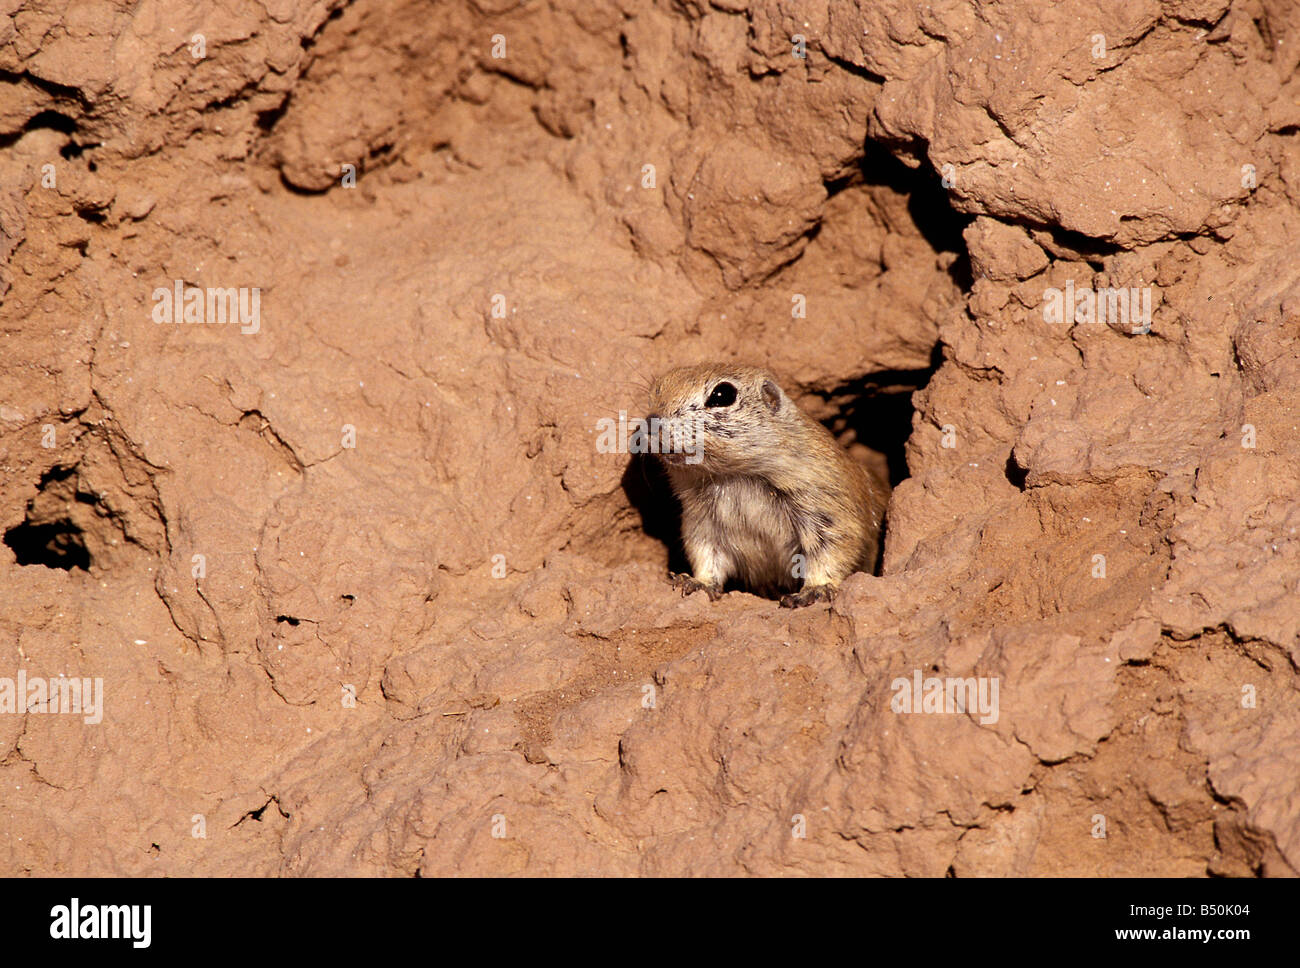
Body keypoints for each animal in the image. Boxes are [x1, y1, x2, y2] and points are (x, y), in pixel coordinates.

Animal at [645, 363, 883, 608]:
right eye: (659, 387)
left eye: (722, 395)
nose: (652, 421)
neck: (733, 476)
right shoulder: (702, 524)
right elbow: (706, 555)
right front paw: (695, 582)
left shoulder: (828, 512)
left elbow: (830, 553)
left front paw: (813, 591)